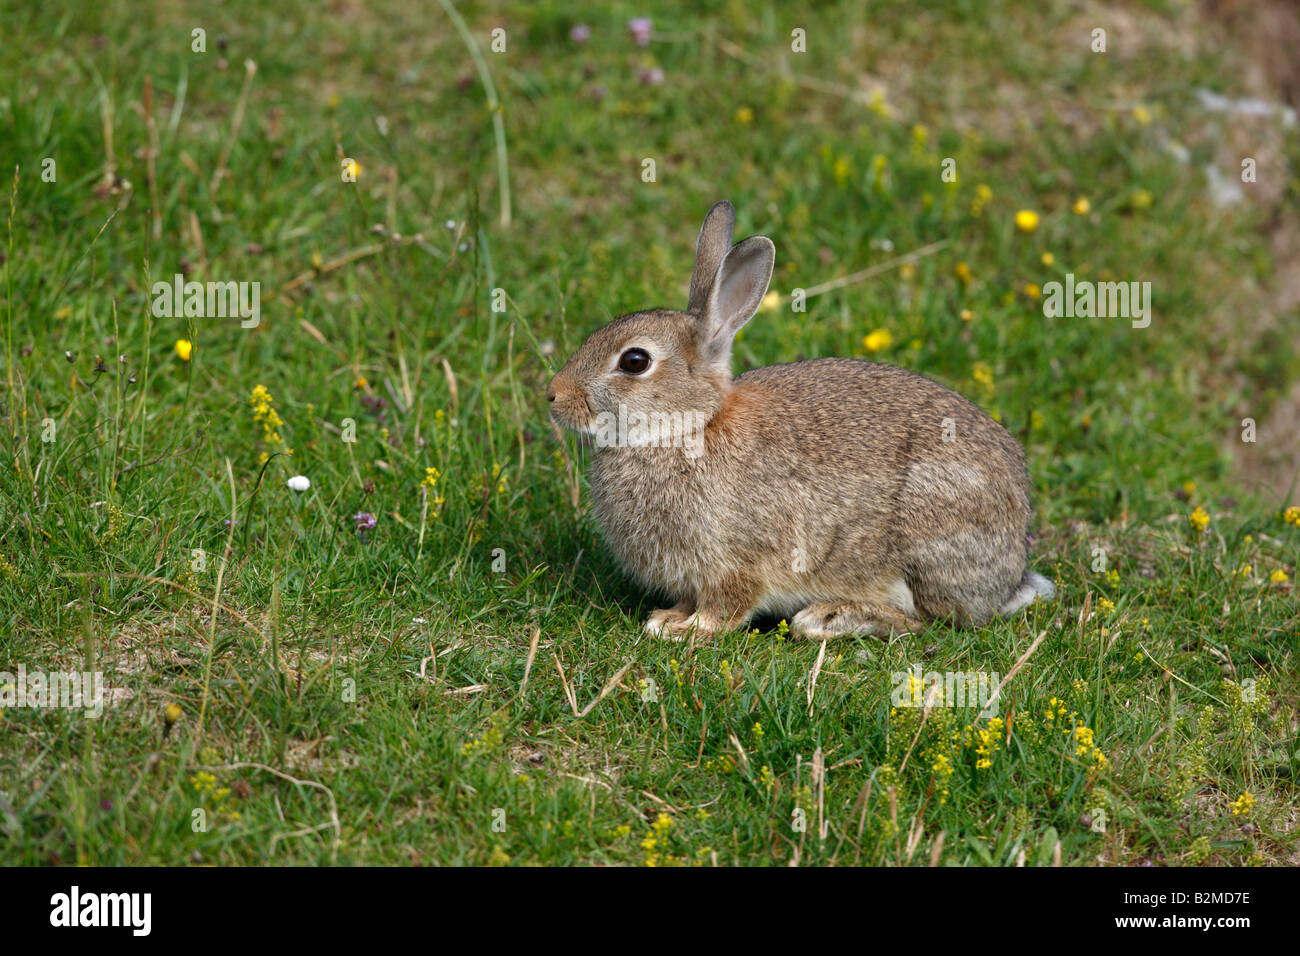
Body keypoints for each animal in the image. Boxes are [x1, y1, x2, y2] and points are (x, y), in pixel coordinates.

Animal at [546, 200, 1054, 641]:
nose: (553, 397)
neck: (691, 427)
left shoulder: (736, 563)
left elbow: (726, 608)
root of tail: (1010, 573)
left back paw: (829, 617)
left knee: (930, 622)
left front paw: (685, 631)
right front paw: (667, 617)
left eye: (634, 361)